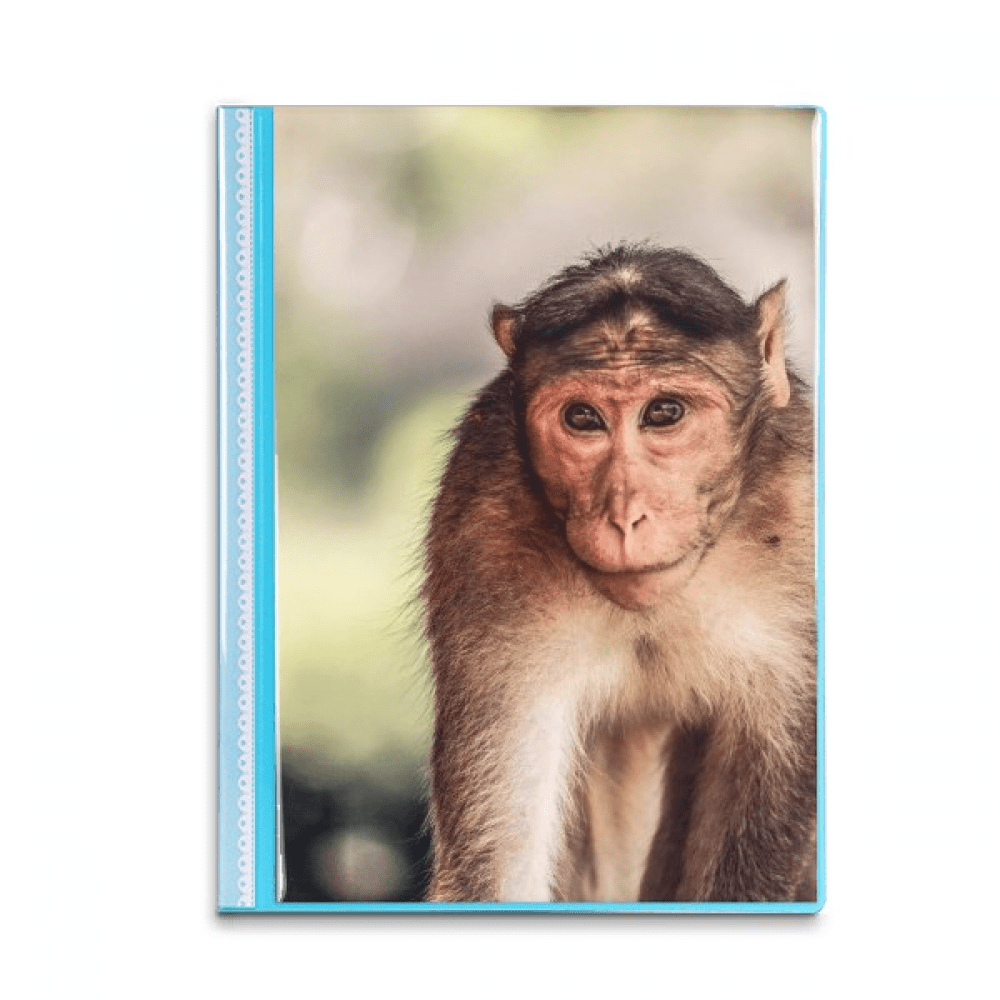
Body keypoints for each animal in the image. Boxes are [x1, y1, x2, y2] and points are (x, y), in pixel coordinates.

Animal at [422, 244, 816, 904]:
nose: (624, 514)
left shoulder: (804, 530)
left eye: (664, 413)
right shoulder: (484, 535)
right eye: (583, 418)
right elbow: (496, 863)